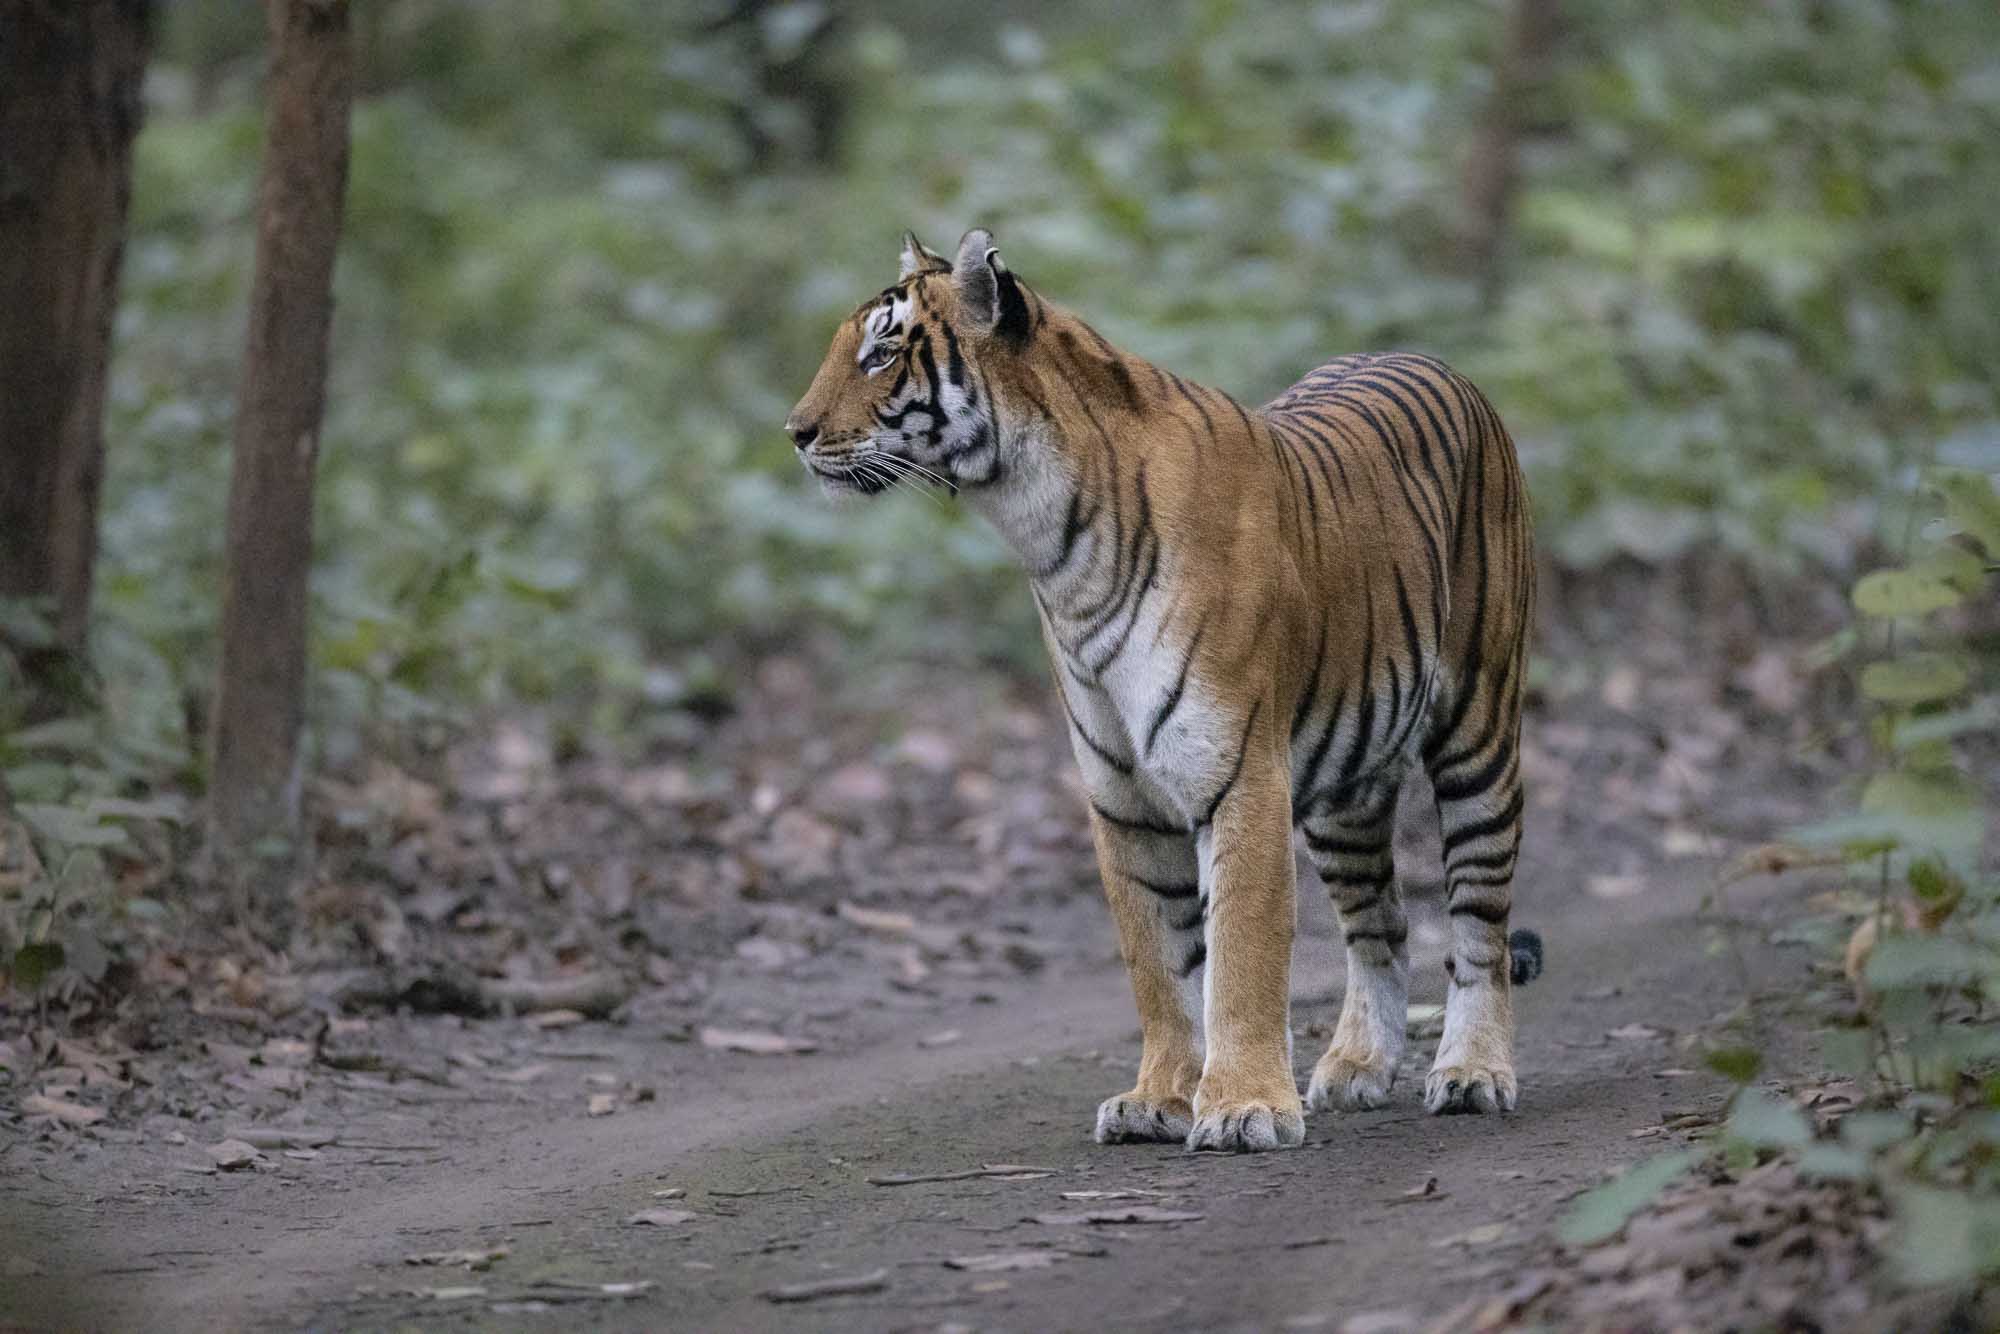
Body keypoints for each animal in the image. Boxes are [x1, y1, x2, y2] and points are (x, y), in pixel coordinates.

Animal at [787, 228, 1543, 1152]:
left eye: (882, 352)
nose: (794, 431)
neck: (1046, 533)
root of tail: (1435, 360)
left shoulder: (1239, 771)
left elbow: (1241, 953)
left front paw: (1244, 1106)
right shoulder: (1123, 798)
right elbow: (1159, 960)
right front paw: (1161, 1096)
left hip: (1479, 732)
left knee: (1478, 922)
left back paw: (1472, 1073)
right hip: (1347, 785)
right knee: (1381, 925)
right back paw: (1357, 1067)